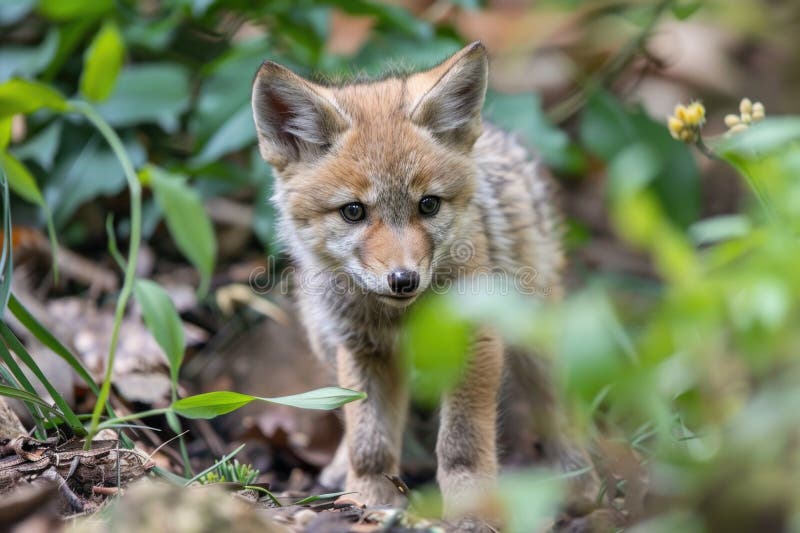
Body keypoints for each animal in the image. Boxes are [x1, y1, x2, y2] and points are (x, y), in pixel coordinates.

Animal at [251, 41, 594, 523]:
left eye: (428, 205)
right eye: (353, 211)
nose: (403, 279)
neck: (403, 319)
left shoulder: (475, 340)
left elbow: (461, 443)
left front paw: (471, 511)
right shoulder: (362, 349)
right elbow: (369, 441)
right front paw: (368, 499)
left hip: (535, 335)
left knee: (558, 403)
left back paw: (579, 478)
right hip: (325, 337)